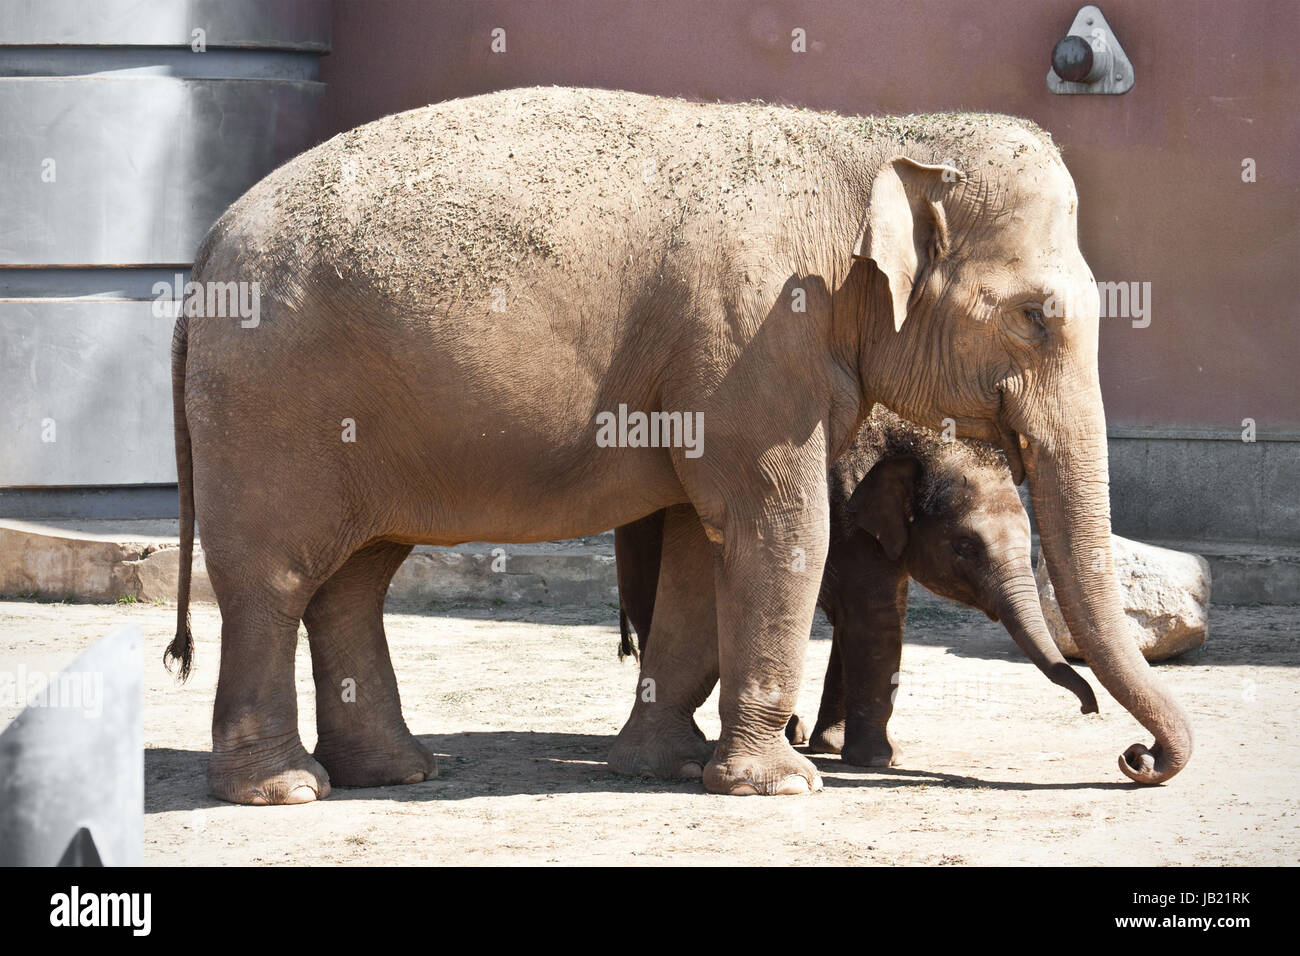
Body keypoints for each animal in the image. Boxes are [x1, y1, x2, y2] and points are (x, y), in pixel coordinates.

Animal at [615, 406, 1100, 770]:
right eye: (966, 547)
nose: (1088, 709)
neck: (910, 437)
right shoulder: (848, 513)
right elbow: (875, 618)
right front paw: (881, 760)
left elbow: (860, 620)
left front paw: (834, 747)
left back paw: (794, 733)